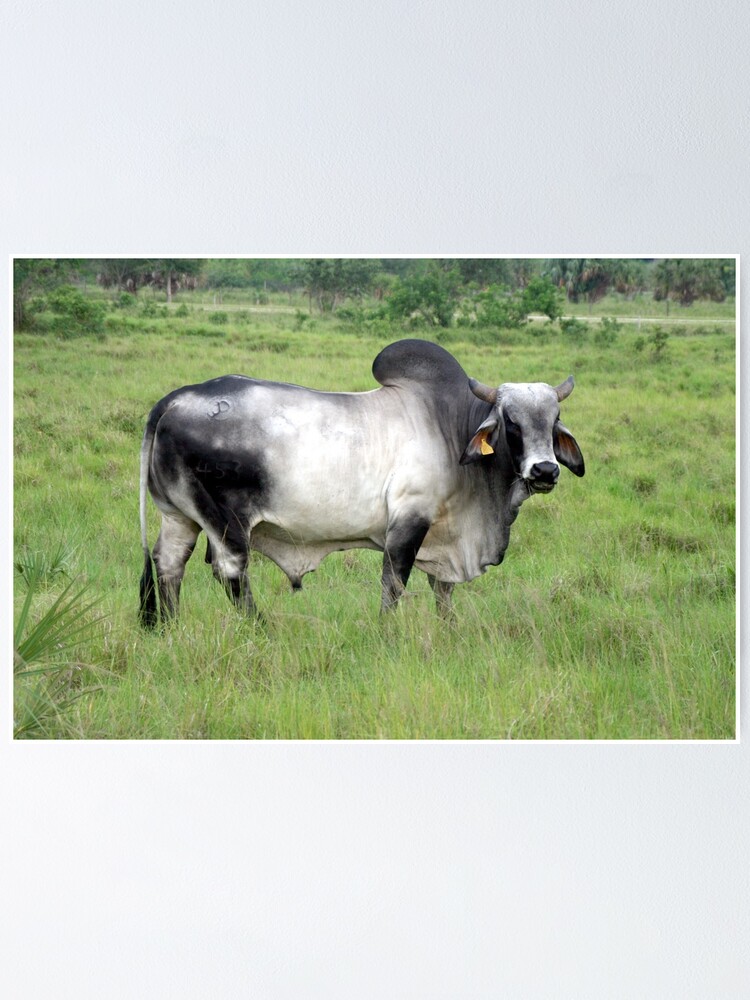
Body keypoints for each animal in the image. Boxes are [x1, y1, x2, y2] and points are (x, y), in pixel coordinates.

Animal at [138, 339, 584, 625]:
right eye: (511, 422)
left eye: (555, 420)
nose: (545, 471)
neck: (451, 427)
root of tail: (174, 400)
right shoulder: (409, 520)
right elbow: (394, 583)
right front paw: (387, 634)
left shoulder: (445, 540)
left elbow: (442, 591)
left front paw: (449, 631)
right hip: (225, 522)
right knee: (231, 570)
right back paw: (261, 629)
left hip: (179, 516)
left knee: (168, 565)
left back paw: (170, 629)